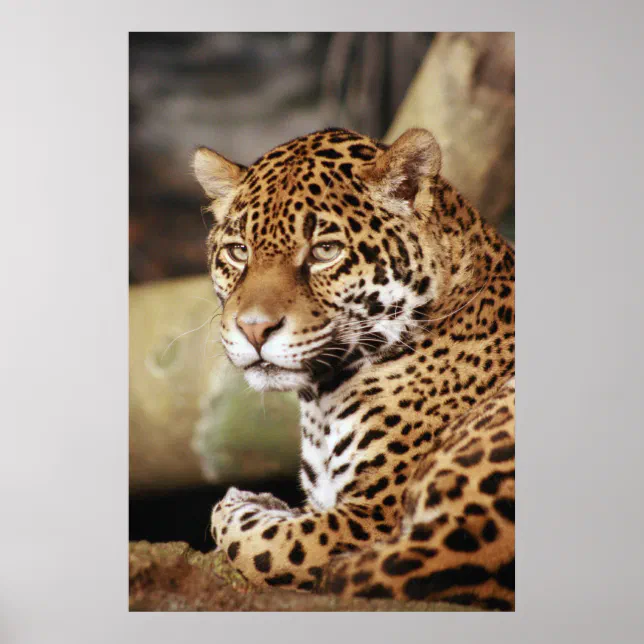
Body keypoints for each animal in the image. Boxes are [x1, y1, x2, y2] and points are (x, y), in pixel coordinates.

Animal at [192, 126, 515, 610]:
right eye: (238, 251)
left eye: (325, 251)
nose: (254, 329)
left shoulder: (371, 518)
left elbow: (268, 544)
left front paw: (245, 501)